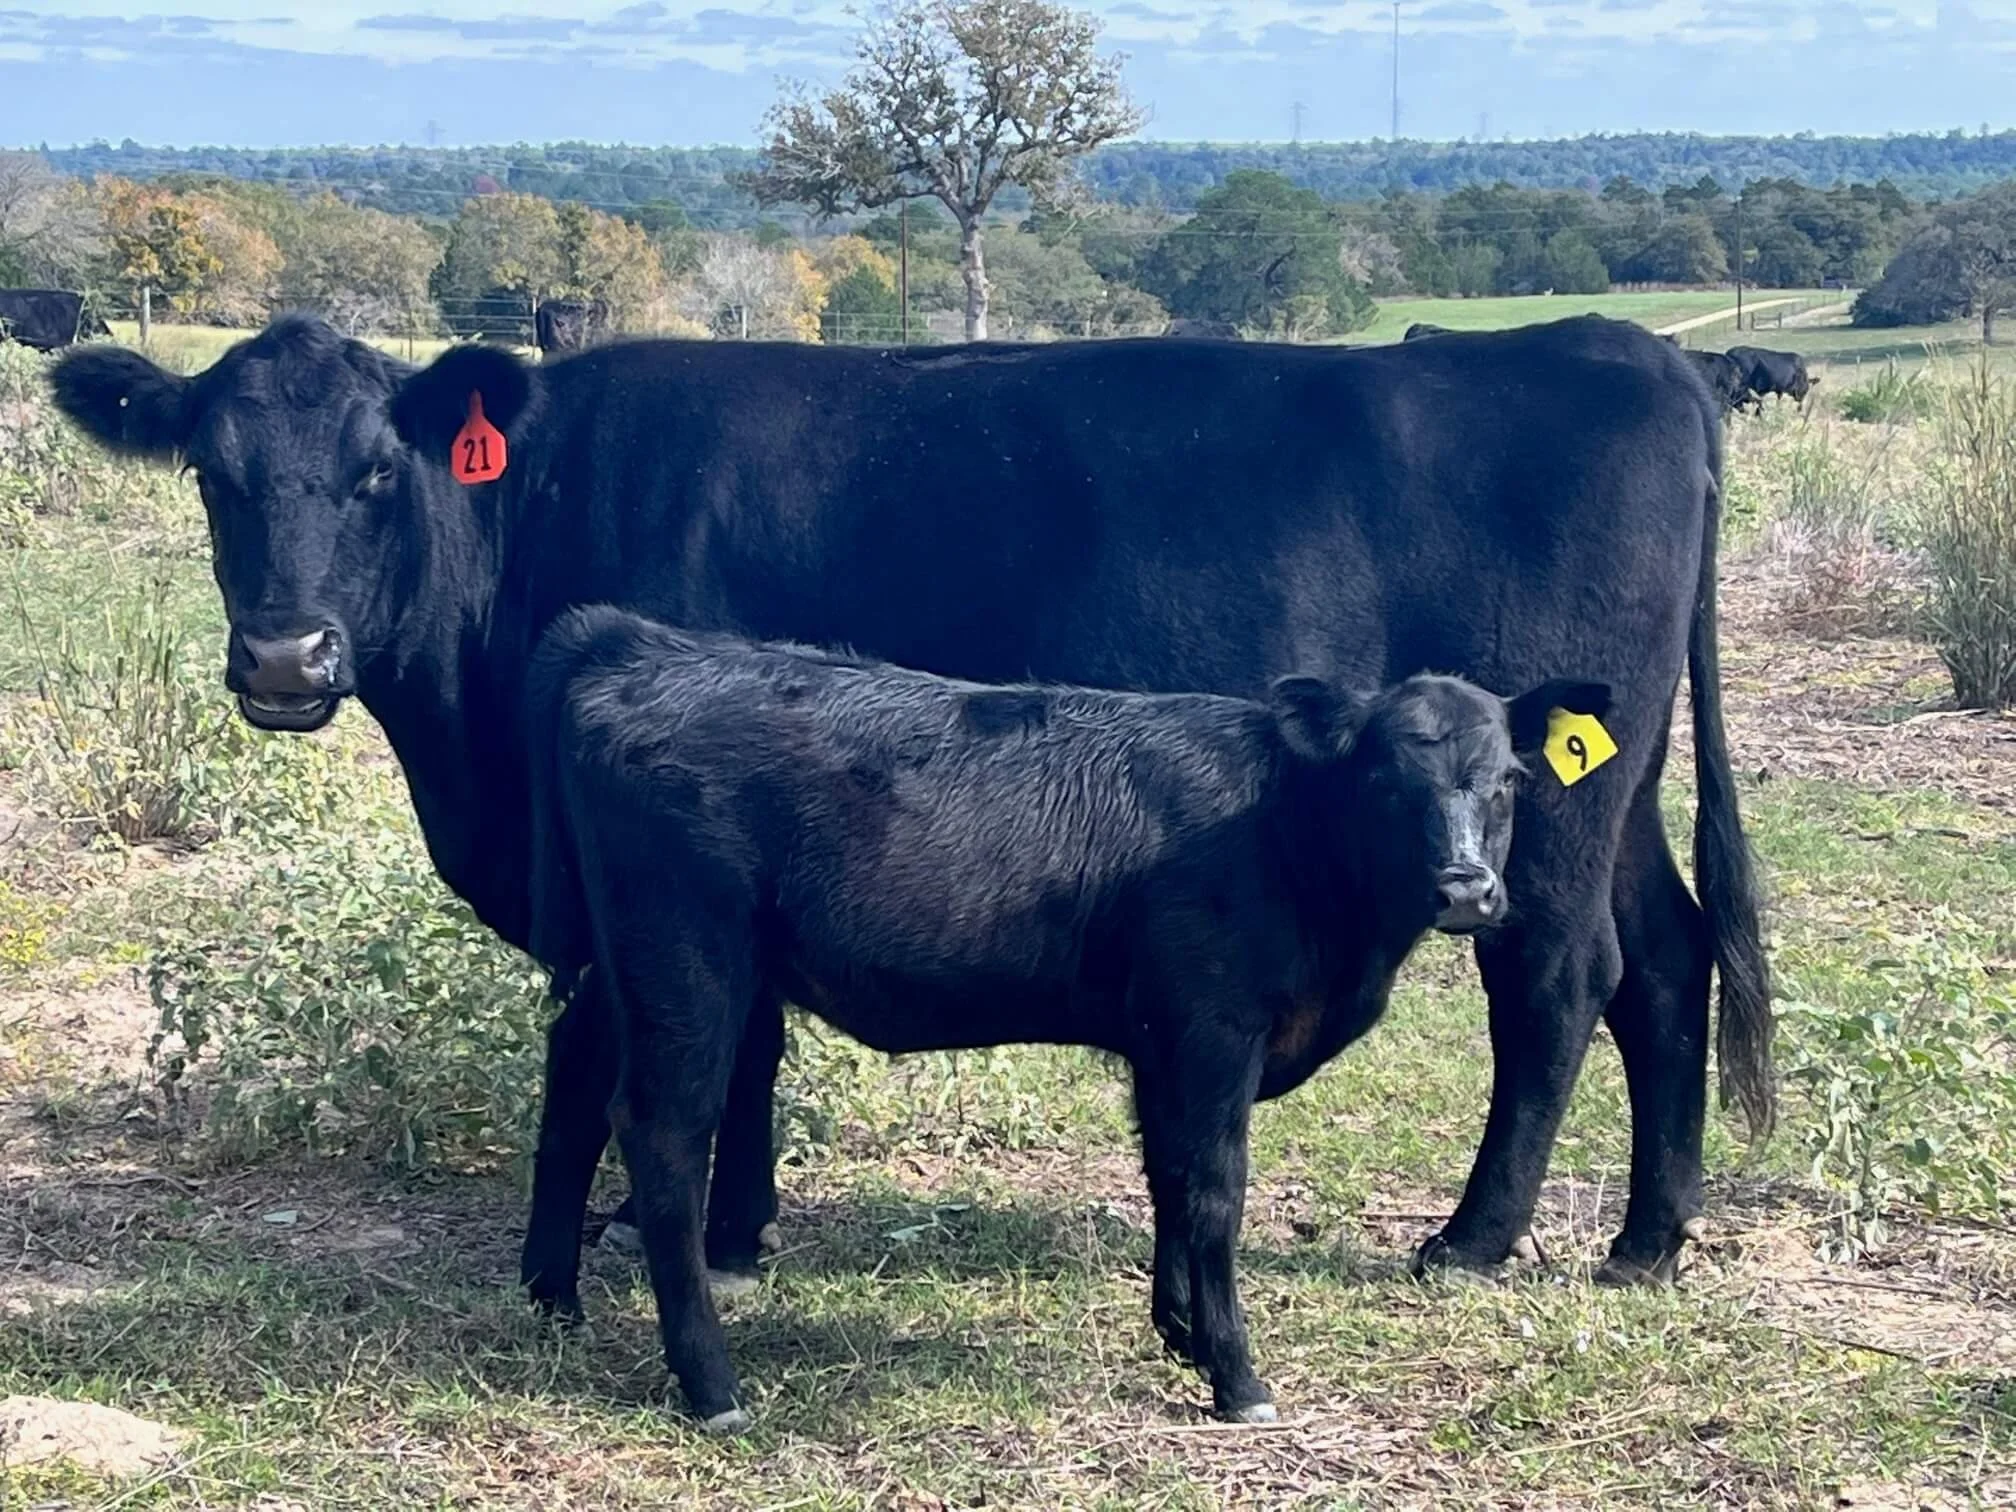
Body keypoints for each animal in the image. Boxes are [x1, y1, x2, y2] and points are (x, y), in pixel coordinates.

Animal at [47, 315, 1771, 1334]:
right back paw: (1648, 1236)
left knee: (1555, 979)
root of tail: (1620, 348)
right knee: (1667, 962)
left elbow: (729, 1042)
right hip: (1605, 780)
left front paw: (720, 1230)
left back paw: (1475, 1238)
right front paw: (728, 1219)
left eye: (373, 473)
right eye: (210, 475)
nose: (286, 659)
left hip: (1538, 812)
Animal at [528, 605, 1610, 1428]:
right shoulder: (1213, 1027)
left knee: (575, 1074)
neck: (1284, 829)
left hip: (625, 964)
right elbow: (1213, 1190)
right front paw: (1236, 1376)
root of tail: (639, 644)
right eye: (1386, 779)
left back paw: (551, 1296)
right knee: (665, 1135)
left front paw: (1181, 1330)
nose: (1466, 889)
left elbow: (1167, 1174)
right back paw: (711, 1384)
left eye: (1509, 781)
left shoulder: (1163, 1041)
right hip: (688, 960)